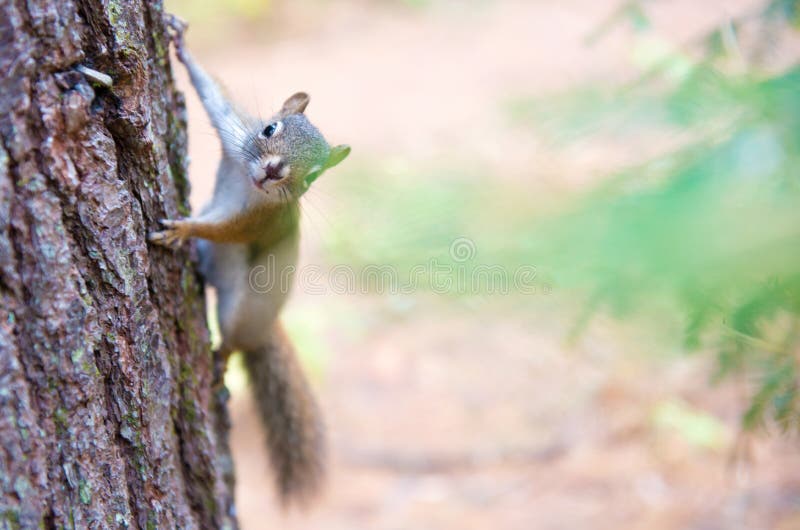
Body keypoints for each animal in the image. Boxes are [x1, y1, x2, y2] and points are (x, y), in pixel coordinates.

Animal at [150, 17, 350, 507]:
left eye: (313, 175)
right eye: (270, 128)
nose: (274, 171)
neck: (248, 182)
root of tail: (265, 326)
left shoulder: (256, 220)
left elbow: (224, 231)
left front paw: (184, 230)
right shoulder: (232, 131)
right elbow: (213, 96)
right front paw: (181, 45)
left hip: (239, 311)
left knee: (232, 341)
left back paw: (219, 355)